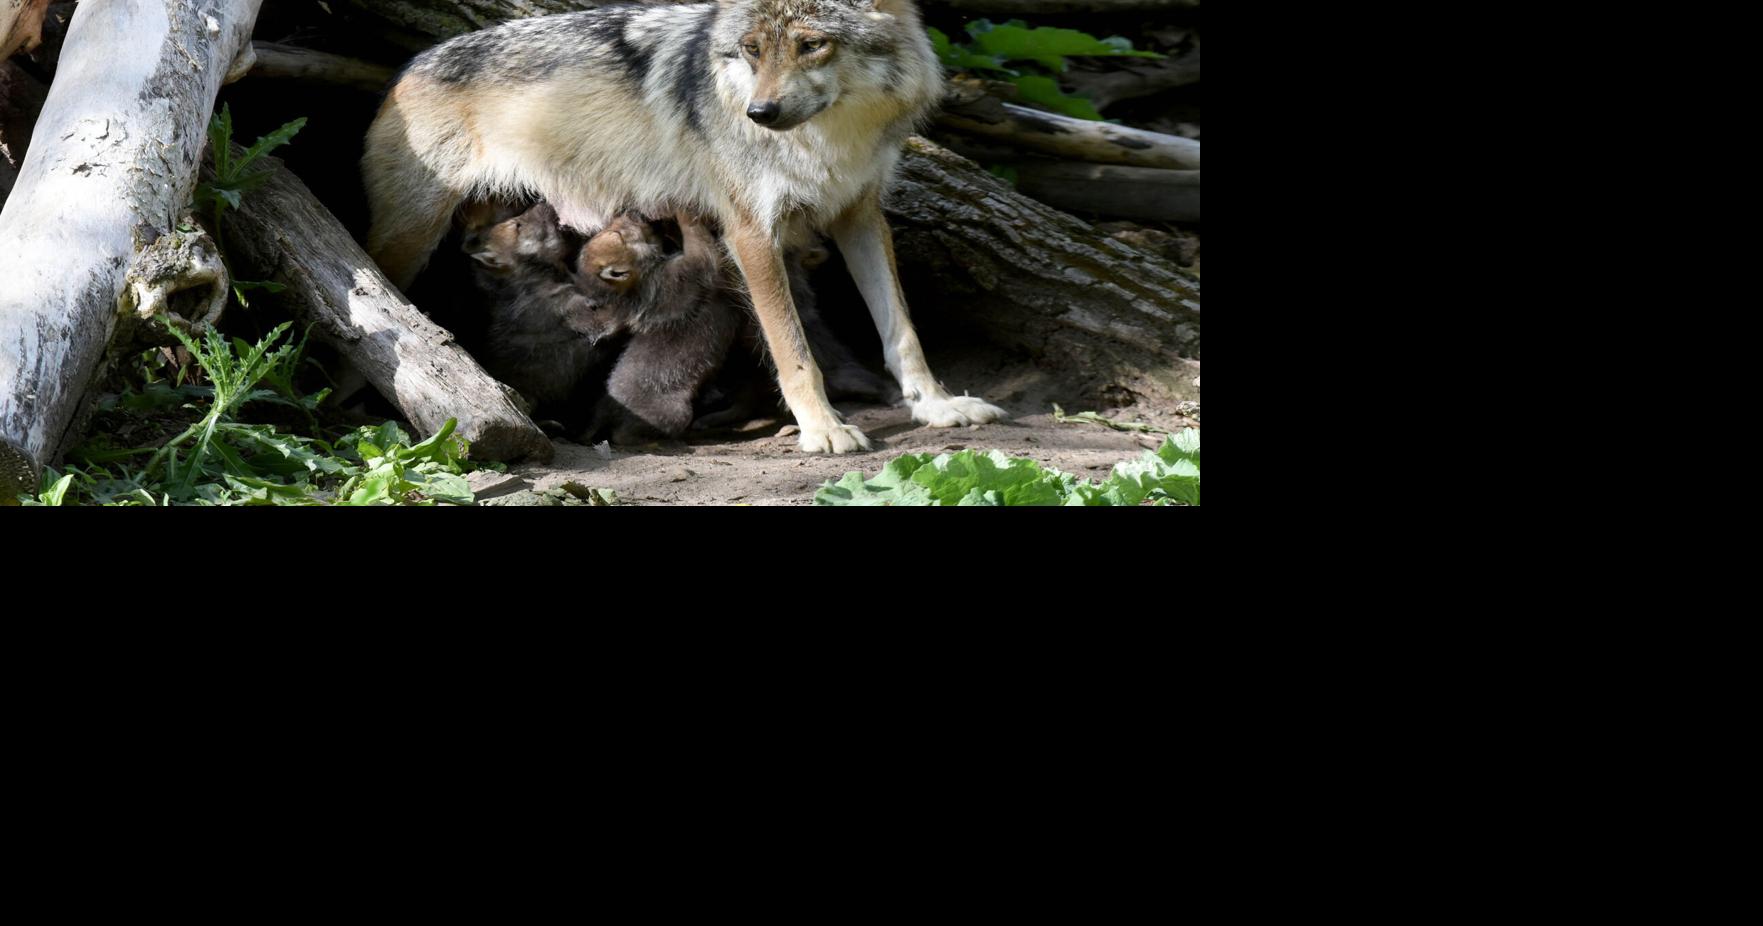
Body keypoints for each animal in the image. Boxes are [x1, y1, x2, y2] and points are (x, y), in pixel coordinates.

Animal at [363, 0, 1006, 453]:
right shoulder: (752, 234)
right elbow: (794, 351)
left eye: (812, 45)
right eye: (751, 49)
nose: (759, 113)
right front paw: (823, 429)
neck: (828, 140)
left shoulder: (861, 216)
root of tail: (410, 66)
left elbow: (902, 331)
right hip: (406, 244)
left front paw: (937, 405)